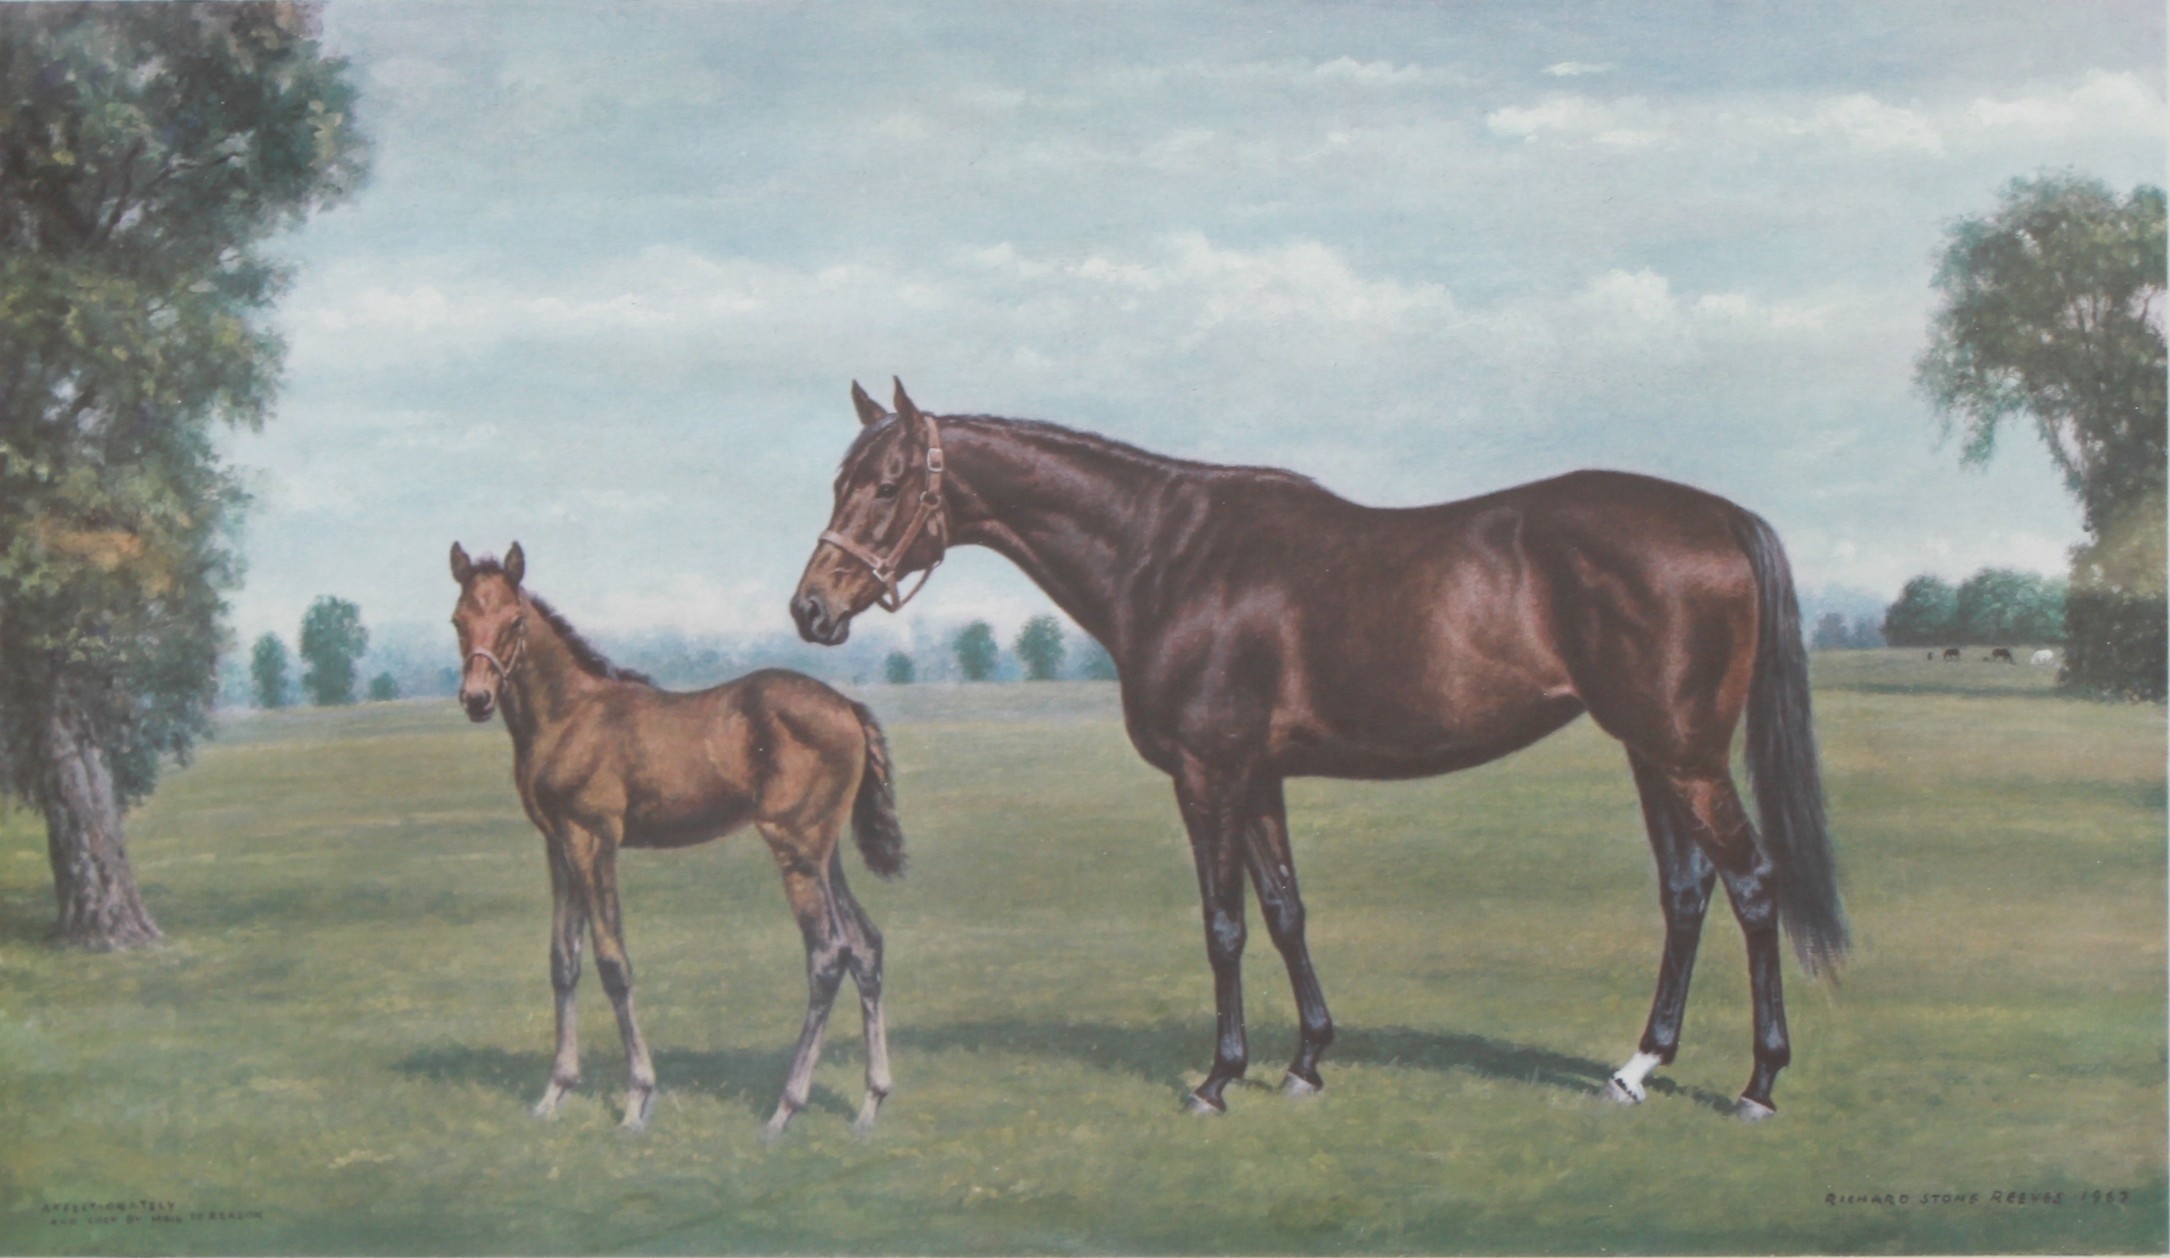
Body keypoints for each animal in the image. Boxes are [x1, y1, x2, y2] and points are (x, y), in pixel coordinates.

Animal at [451, 542, 904, 1136]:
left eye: (515, 621)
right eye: (458, 621)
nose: (476, 698)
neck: (570, 714)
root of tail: (847, 708)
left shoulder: (593, 839)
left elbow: (613, 962)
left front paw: (637, 1098)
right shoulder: (557, 845)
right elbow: (563, 961)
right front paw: (554, 1093)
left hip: (796, 850)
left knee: (829, 954)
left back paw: (785, 1108)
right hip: (822, 855)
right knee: (866, 946)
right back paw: (871, 1102)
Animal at [790, 380, 1847, 1121]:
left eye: (888, 484)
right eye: (837, 481)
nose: (811, 608)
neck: (1168, 556)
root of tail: (1720, 518)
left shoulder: (1208, 776)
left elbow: (1224, 925)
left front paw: (1218, 1079)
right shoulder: (1258, 777)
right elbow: (1287, 912)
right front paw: (1305, 1063)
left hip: (1685, 755)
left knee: (1754, 886)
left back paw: (1758, 1084)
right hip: (1652, 752)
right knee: (1687, 893)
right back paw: (1635, 1070)